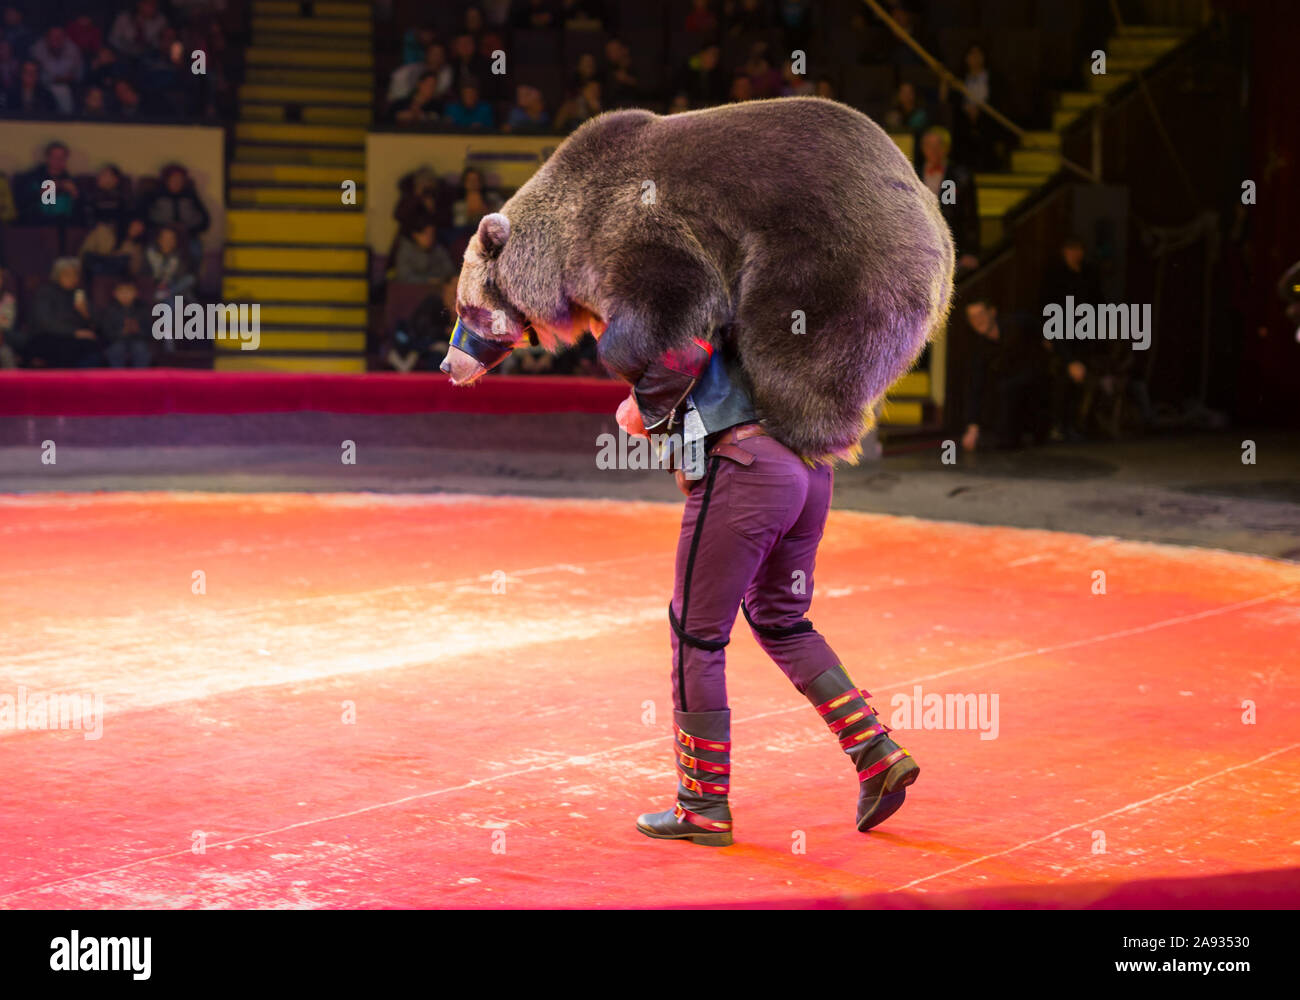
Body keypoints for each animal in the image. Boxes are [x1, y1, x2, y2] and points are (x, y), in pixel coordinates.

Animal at [443, 96, 955, 462]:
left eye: (466, 309)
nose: (449, 364)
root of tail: (938, 225)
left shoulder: (629, 226)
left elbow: (677, 291)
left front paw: (639, 366)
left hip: (836, 258)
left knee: (798, 345)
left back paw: (793, 427)